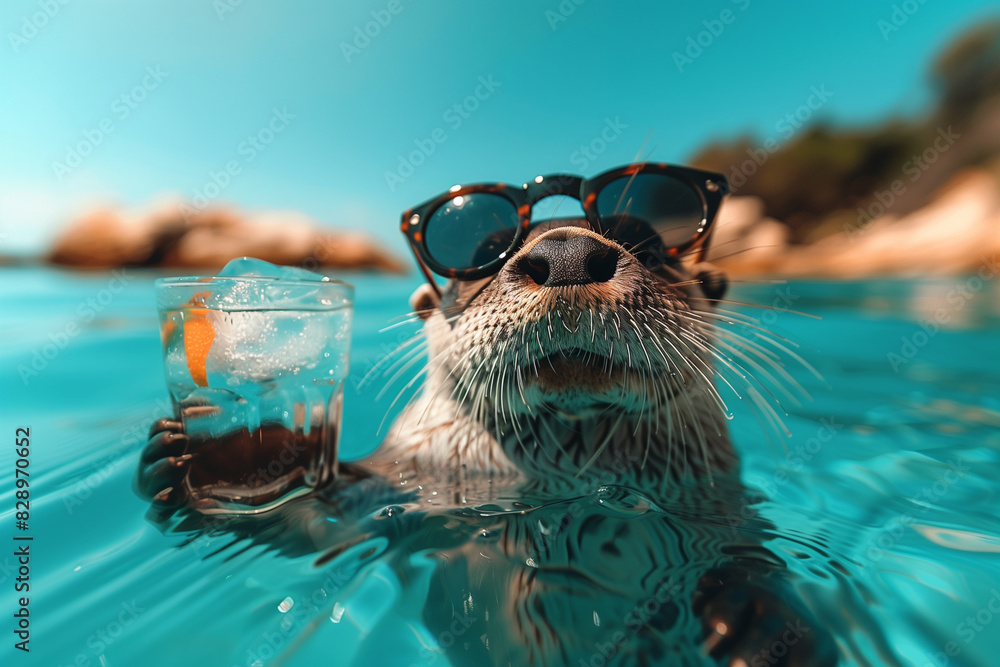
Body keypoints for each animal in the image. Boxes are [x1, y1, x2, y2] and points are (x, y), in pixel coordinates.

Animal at [136, 164, 839, 666]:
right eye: (492, 248)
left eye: (642, 238)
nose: (566, 254)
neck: (563, 485)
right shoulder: (410, 489)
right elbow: (326, 526)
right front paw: (204, 464)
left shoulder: (717, 500)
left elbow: (749, 552)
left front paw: (759, 623)